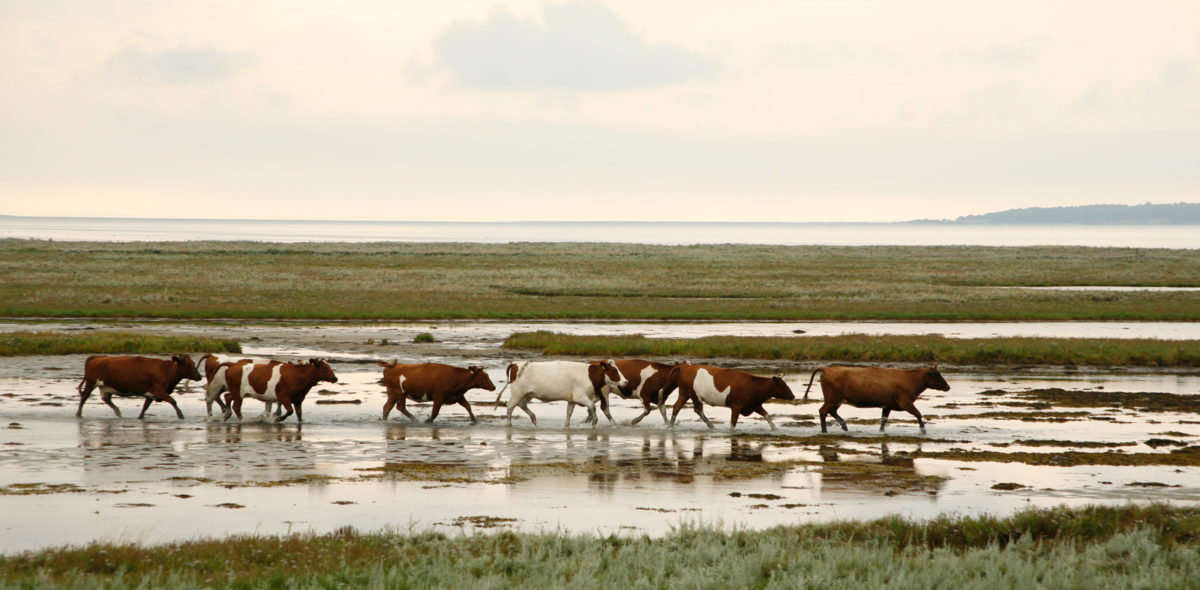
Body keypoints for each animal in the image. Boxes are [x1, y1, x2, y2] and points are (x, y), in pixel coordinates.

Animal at [494, 360, 627, 427]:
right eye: (615, 371)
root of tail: (516, 363)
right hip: (518, 392)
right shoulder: (581, 396)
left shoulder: (572, 399)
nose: (626, 381)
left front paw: (566, 426)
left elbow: (569, 413)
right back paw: (509, 424)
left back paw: (533, 418)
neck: (589, 375)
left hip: (528, 394)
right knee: (510, 405)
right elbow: (592, 406)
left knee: (522, 404)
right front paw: (594, 421)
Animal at [666, 364, 795, 430]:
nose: (793, 396)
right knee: (697, 410)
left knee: (677, 407)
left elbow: (767, 415)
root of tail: (686, 367)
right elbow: (733, 423)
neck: (753, 386)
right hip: (693, 395)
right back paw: (711, 426)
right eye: (783, 386)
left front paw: (775, 429)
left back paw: (671, 425)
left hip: (684, 393)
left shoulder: (755, 405)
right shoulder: (737, 406)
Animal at [802, 364, 950, 434]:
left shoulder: (887, 405)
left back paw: (844, 425)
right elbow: (918, 414)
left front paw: (881, 432)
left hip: (837, 400)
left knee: (831, 411)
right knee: (823, 411)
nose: (948, 387)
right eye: (937, 375)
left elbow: (883, 421)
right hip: (832, 399)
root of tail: (827, 369)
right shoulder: (905, 402)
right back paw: (825, 431)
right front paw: (923, 430)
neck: (909, 379)